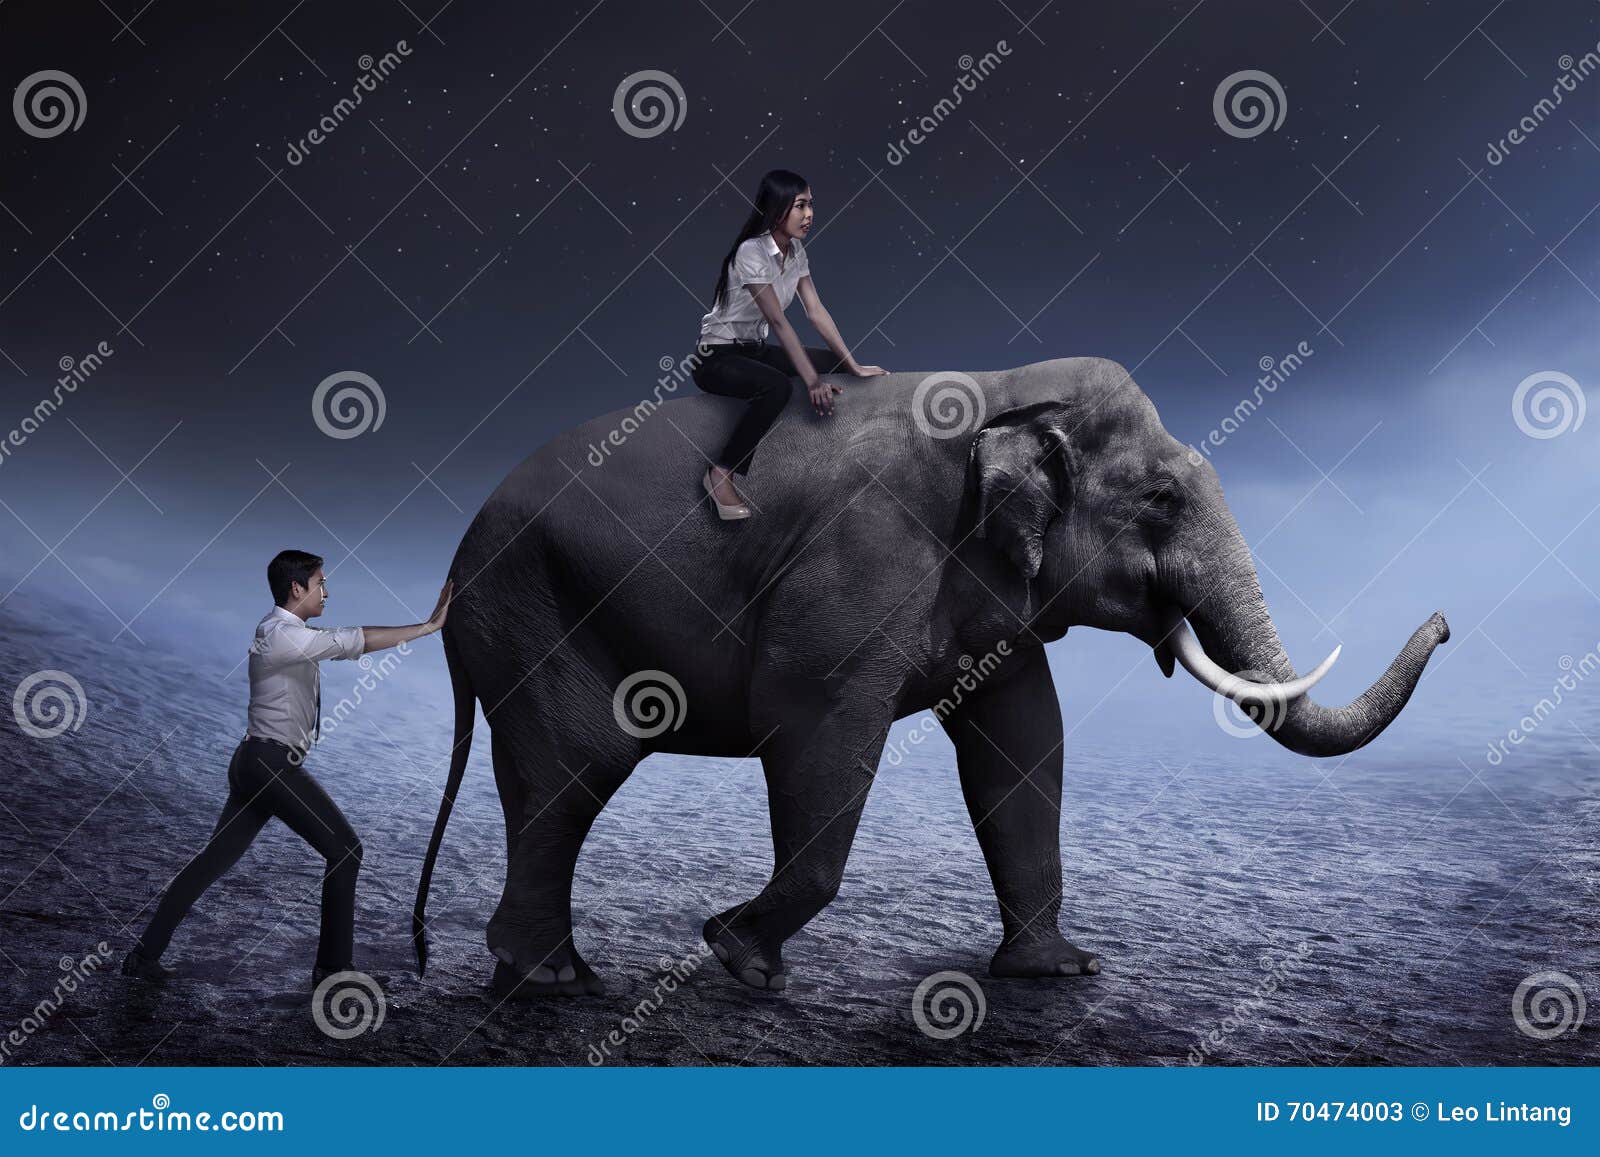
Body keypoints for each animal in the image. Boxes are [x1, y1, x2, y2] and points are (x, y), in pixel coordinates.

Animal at [410, 355, 1449, 998]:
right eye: (1159, 500)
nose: (1444, 621)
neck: (1003, 388)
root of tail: (454, 563)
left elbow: (1025, 741)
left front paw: (1060, 973)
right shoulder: (862, 556)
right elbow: (815, 717)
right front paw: (742, 959)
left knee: (551, 775)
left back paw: (550, 978)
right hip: (536, 601)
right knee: (579, 763)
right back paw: (552, 982)